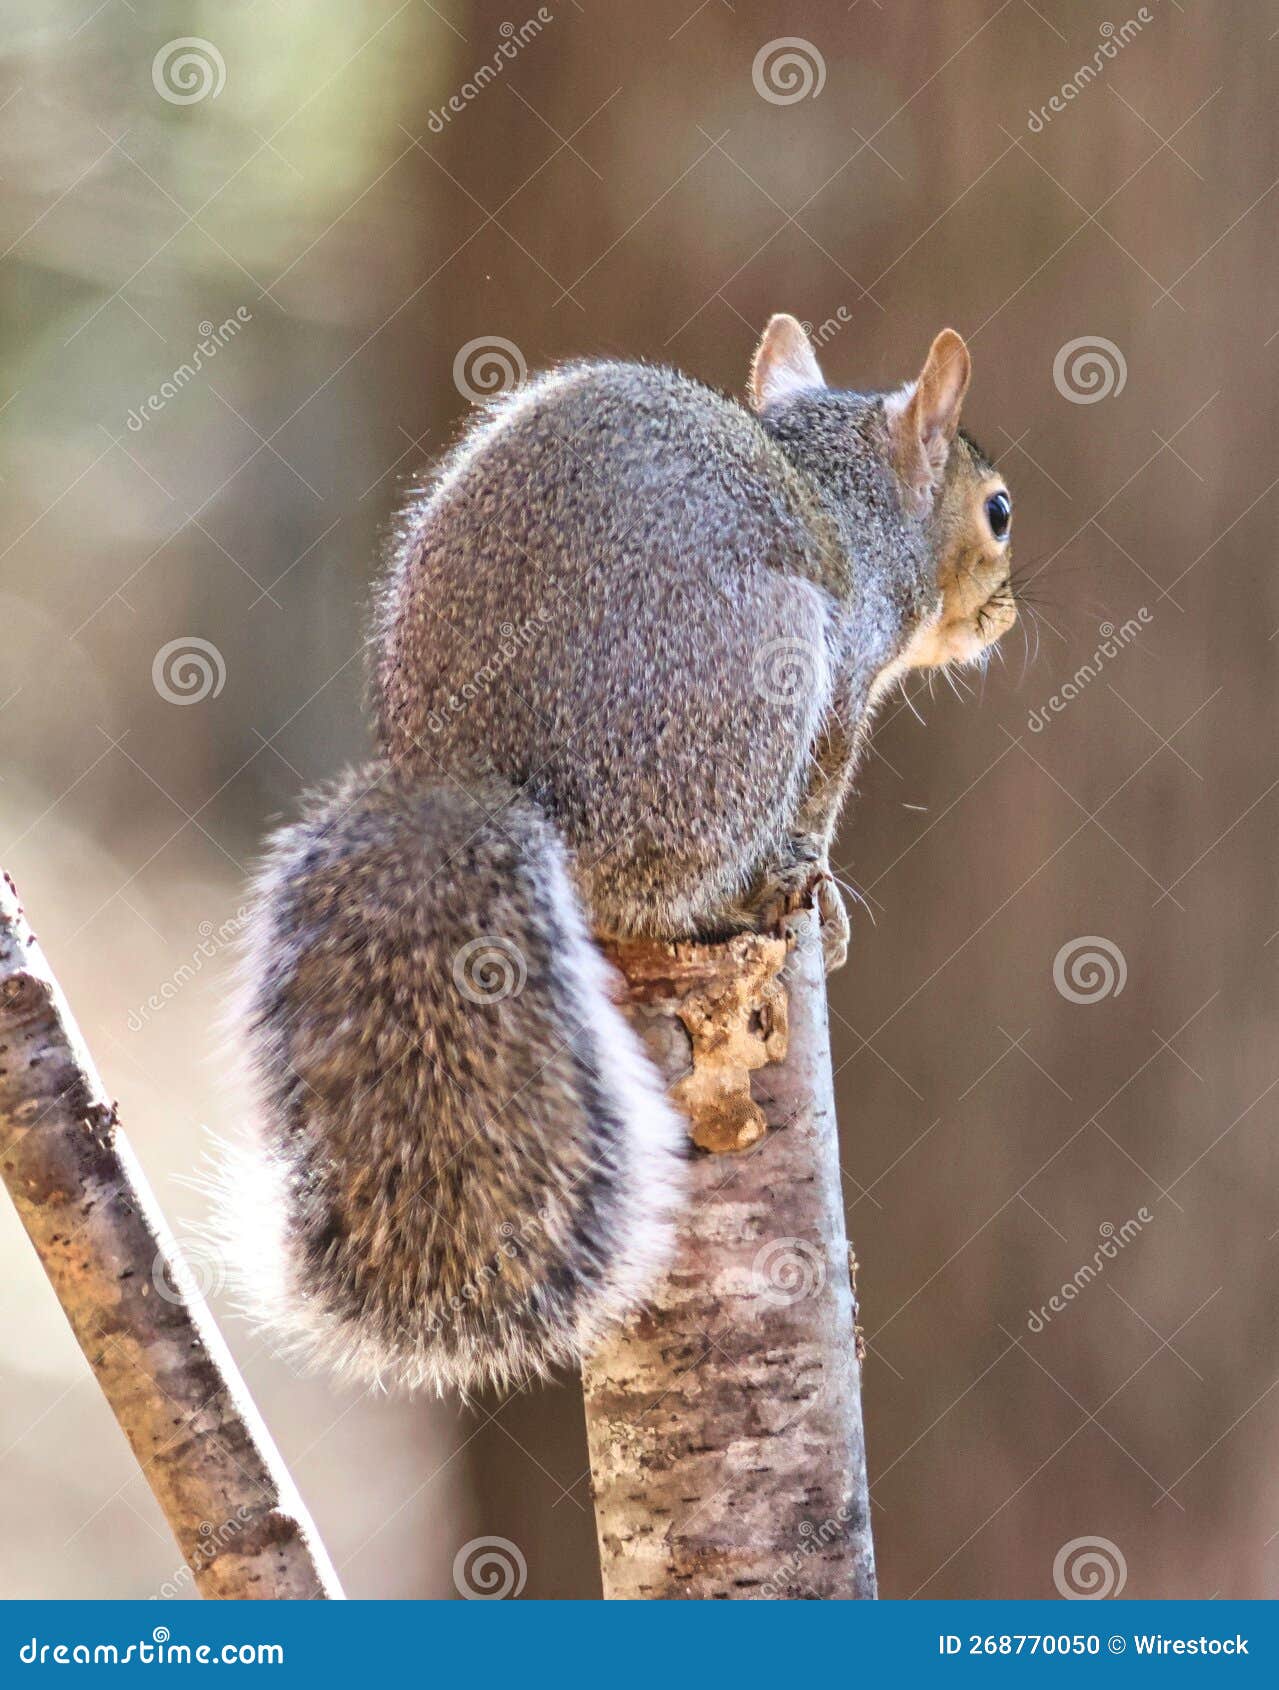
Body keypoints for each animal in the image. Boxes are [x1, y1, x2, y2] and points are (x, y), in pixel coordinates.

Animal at [219, 315, 1016, 1396]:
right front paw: (815, 887)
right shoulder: (843, 678)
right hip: (753, 680)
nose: (1005, 613)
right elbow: (818, 802)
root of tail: (476, 772)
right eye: (998, 512)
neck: (851, 494)